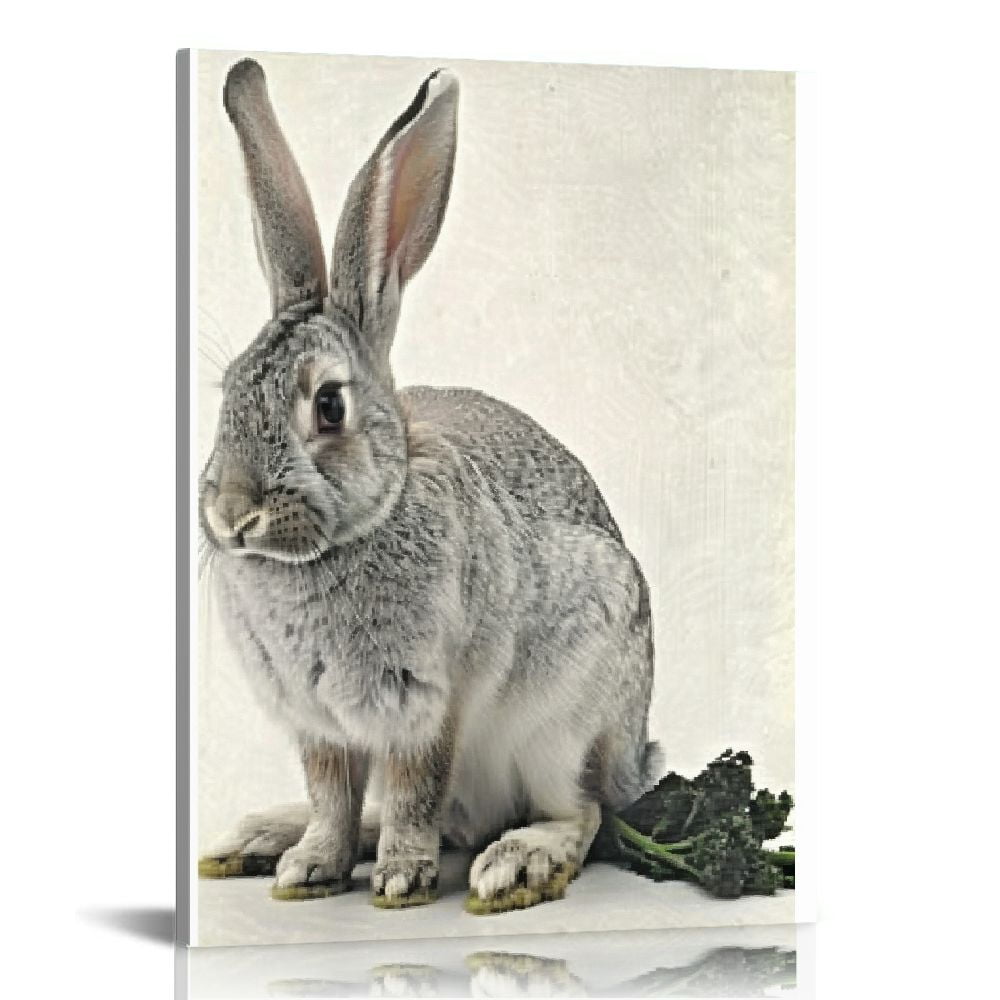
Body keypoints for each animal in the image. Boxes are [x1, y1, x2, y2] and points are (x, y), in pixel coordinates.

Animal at [197, 57, 661, 913]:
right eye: (229, 392)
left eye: (329, 406)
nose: (234, 514)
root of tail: (632, 758)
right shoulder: (319, 724)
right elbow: (331, 795)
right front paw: (311, 866)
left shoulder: (424, 701)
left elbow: (416, 788)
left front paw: (398, 882)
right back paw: (259, 840)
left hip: (560, 727)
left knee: (575, 813)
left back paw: (517, 863)